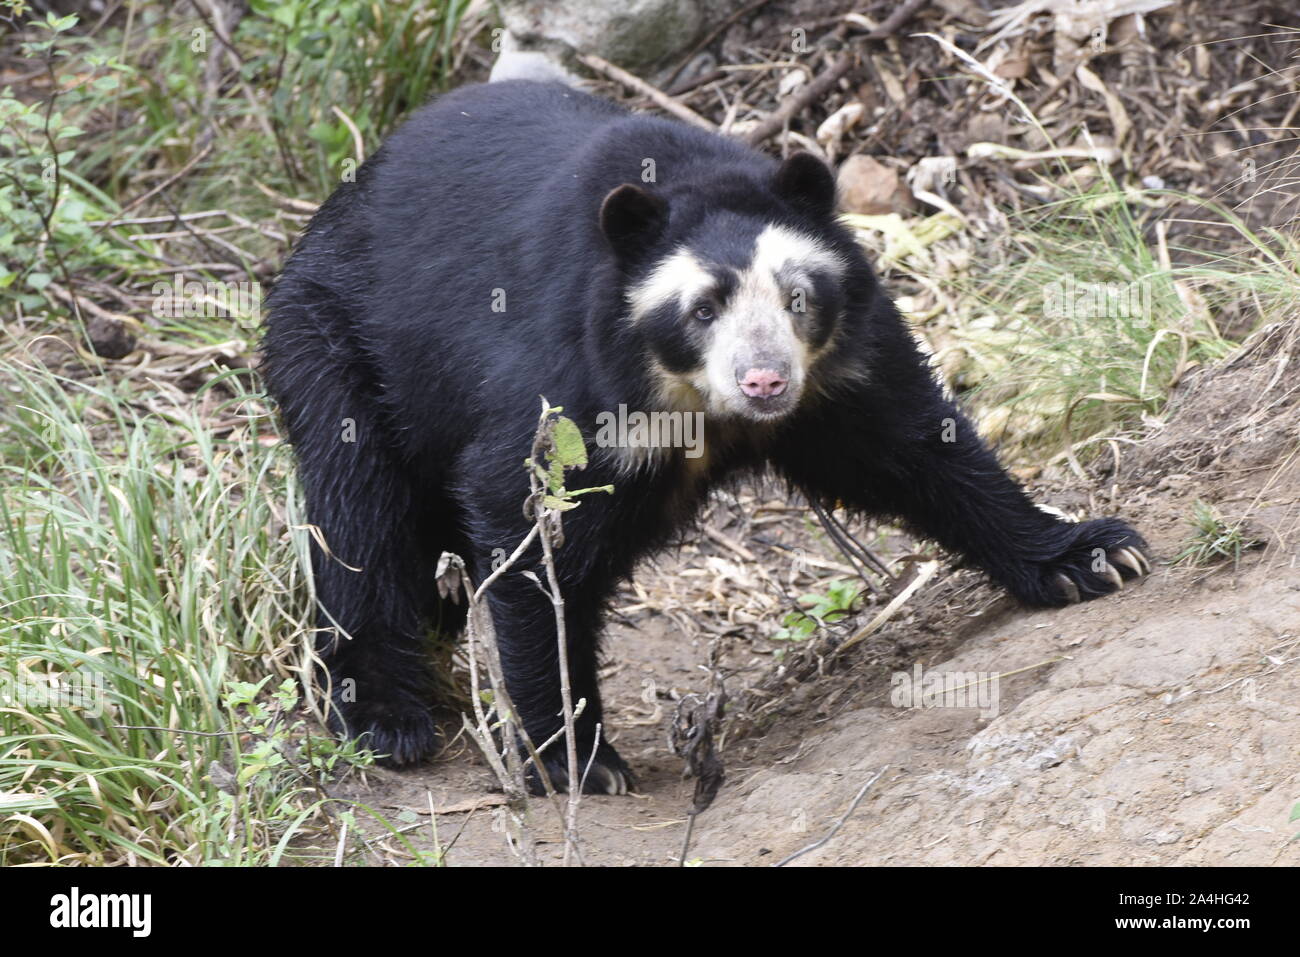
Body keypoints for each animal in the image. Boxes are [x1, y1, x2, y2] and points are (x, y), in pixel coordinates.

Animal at [262, 80, 1149, 793]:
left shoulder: (846, 366)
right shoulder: (564, 379)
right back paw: (386, 715)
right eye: (702, 308)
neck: (689, 399)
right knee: (359, 516)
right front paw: (578, 758)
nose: (766, 382)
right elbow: (524, 521)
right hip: (332, 343)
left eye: (798, 297)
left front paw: (1091, 555)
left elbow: (918, 448)